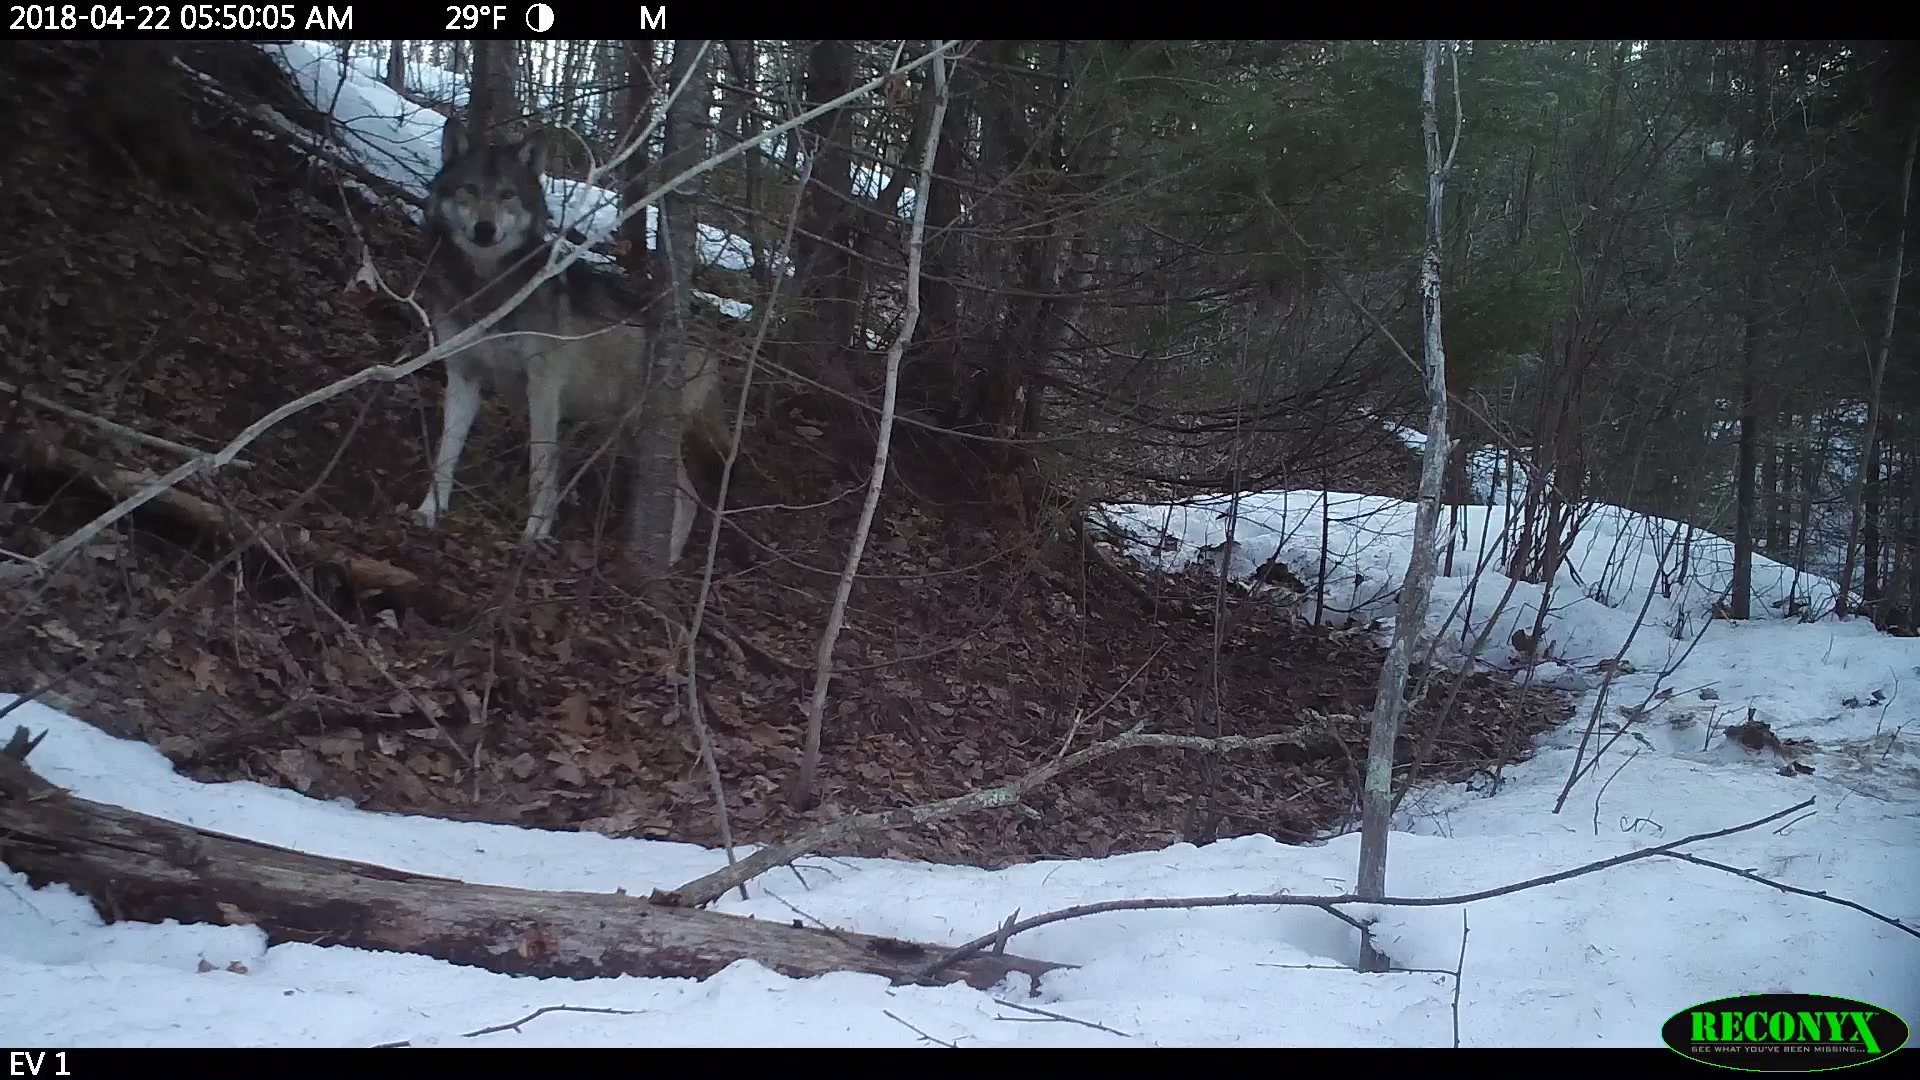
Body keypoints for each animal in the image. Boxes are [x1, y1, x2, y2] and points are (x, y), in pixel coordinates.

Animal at [413, 116, 725, 564]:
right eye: (469, 189)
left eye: (507, 194)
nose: (485, 229)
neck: (488, 287)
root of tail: (712, 346)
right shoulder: (463, 375)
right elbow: (445, 455)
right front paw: (429, 511)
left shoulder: (543, 387)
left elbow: (542, 467)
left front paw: (535, 534)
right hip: (630, 432)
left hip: (641, 429)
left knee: (690, 498)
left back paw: (662, 563)